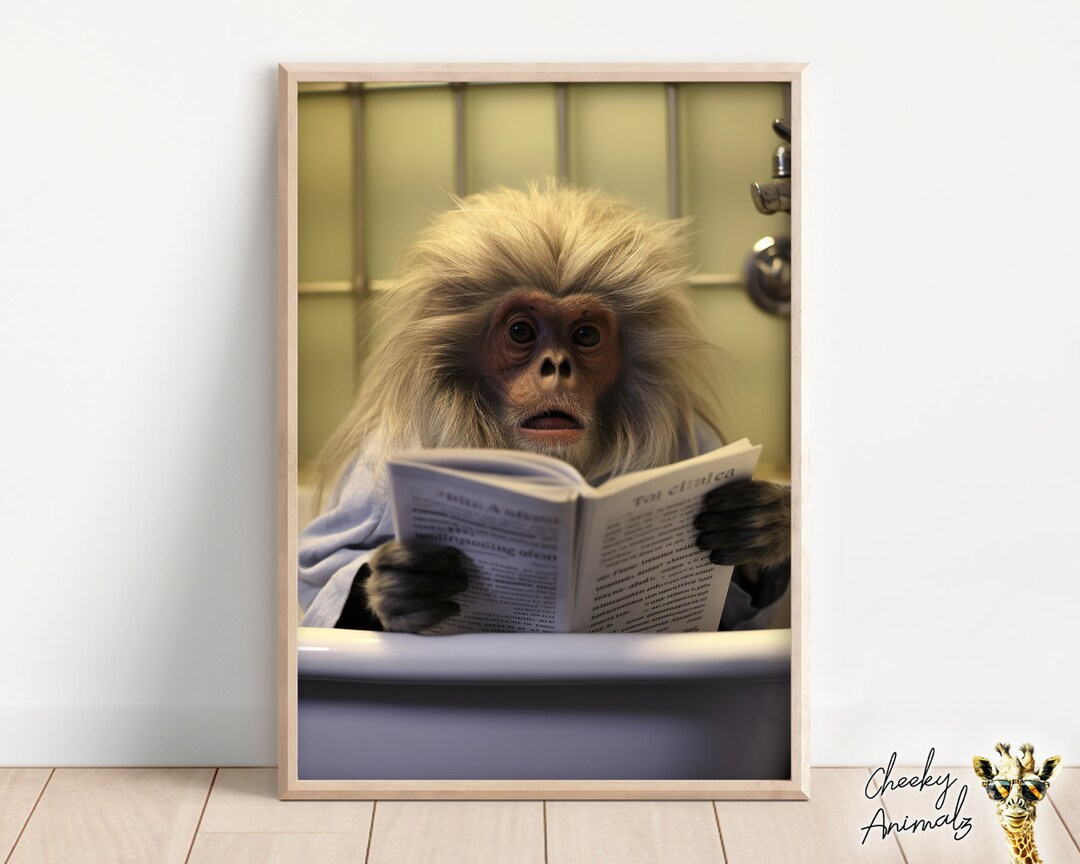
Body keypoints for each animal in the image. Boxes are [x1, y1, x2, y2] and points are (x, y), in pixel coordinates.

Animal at [297, 180, 791, 633]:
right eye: (521, 331)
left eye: (585, 335)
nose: (557, 366)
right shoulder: (376, 470)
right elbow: (316, 576)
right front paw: (401, 586)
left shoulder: (697, 441)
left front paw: (763, 526)